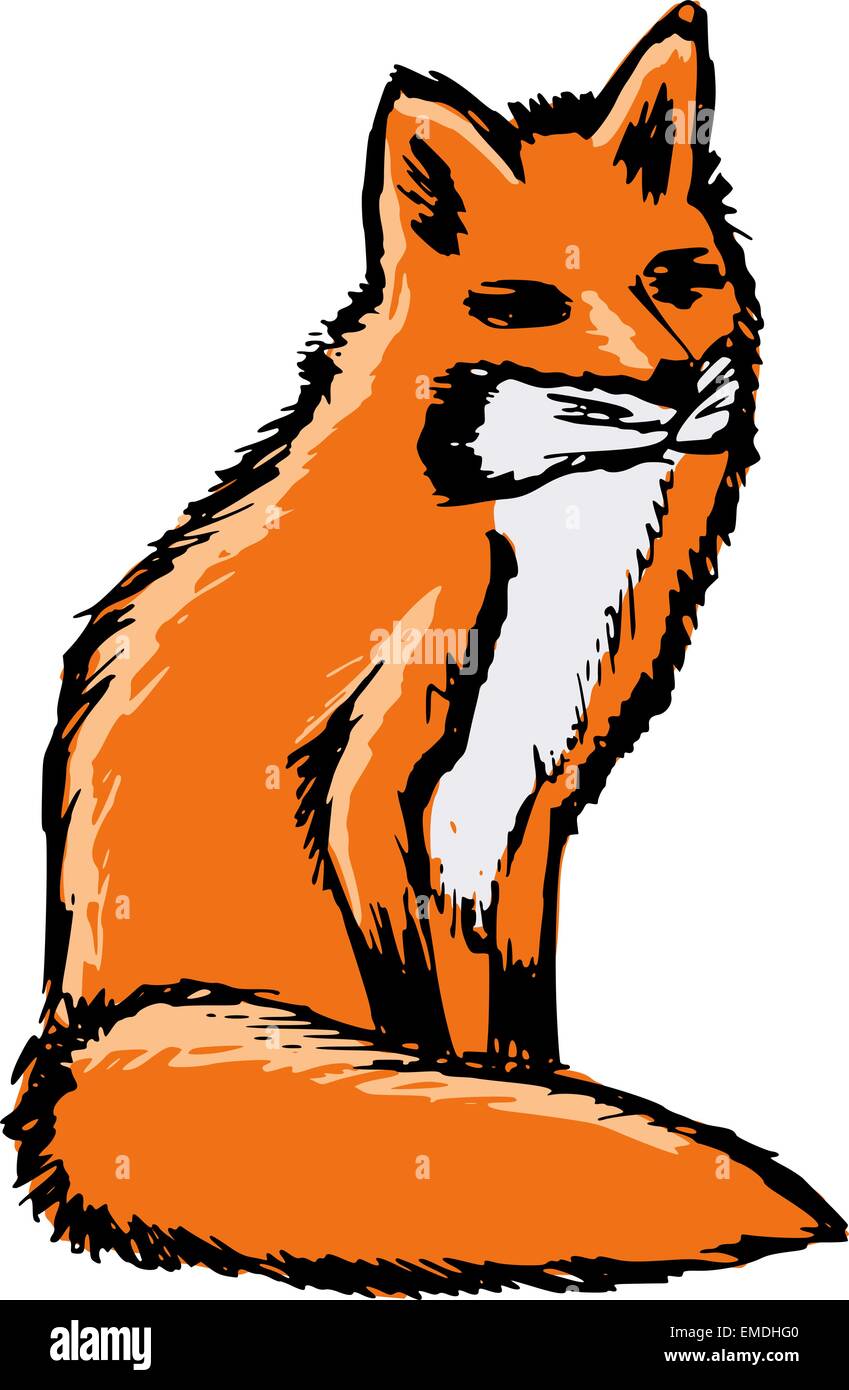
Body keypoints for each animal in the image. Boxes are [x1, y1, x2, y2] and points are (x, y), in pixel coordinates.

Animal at [6, 2, 845, 1297]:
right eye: (527, 303)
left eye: (673, 281)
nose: (667, 384)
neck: (545, 538)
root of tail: (74, 1029)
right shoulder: (371, 774)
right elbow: (421, 1027)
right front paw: (474, 1117)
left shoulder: (530, 802)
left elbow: (514, 1012)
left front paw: (537, 1096)